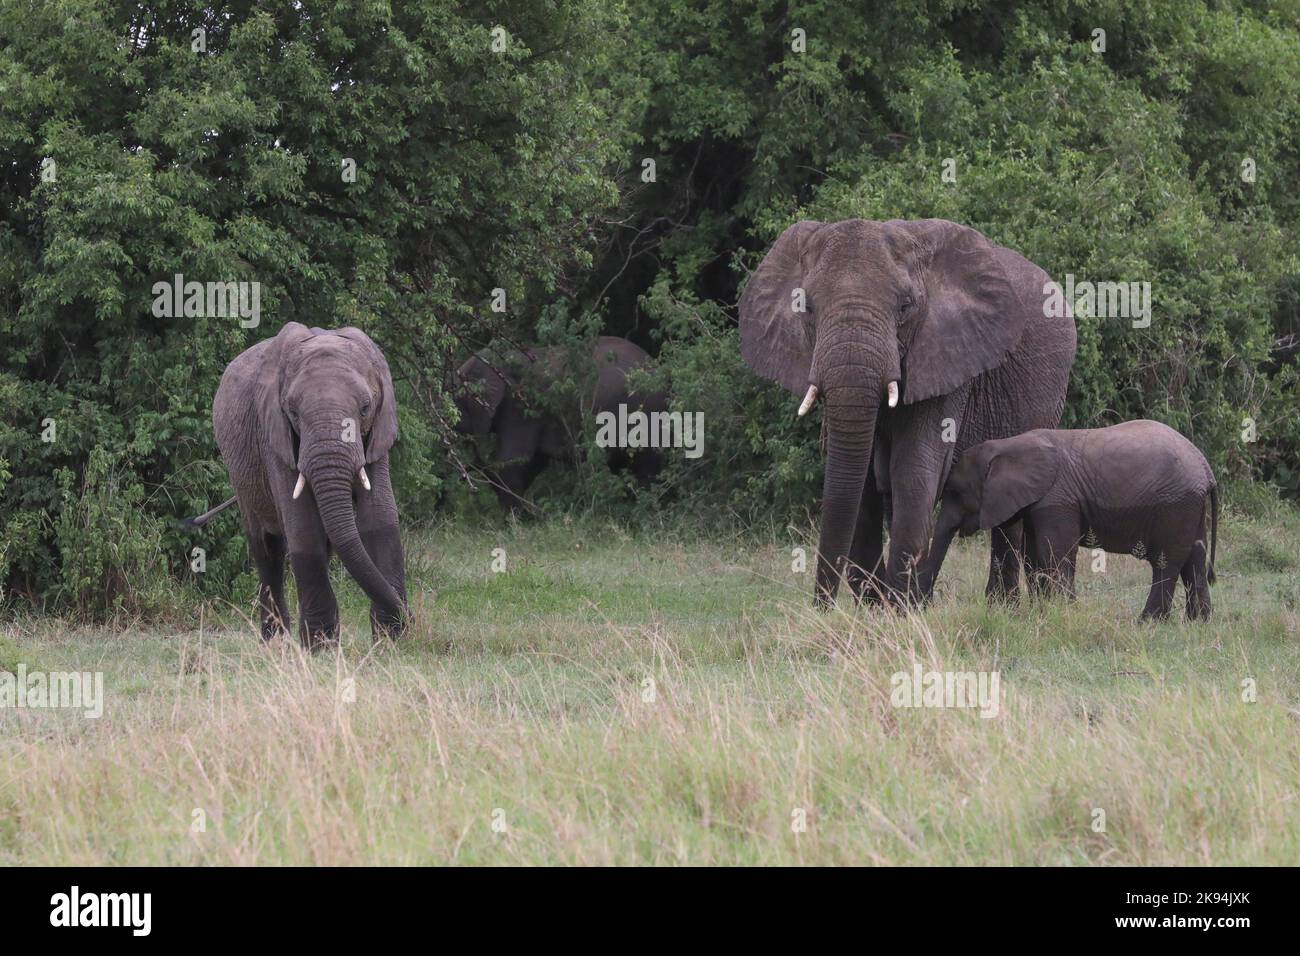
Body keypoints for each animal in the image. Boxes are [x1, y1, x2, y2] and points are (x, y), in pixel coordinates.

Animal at [184, 322, 407, 647]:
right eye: (293, 412)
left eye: (365, 408)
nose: (409, 616)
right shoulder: (273, 435)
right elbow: (303, 527)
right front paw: (320, 647)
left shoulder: (378, 434)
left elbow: (379, 518)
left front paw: (391, 640)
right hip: (239, 470)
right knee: (267, 548)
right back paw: (275, 643)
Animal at [452, 336, 668, 513]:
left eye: (456, 402)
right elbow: (533, 462)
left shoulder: (521, 406)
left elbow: (513, 461)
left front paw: (515, 523)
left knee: (647, 467)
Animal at [739, 218, 1077, 607]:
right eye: (805, 307)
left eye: (905, 306)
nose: (821, 608)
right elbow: (862, 487)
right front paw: (878, 609)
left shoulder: (947, 358)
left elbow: (912, 472)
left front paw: (899, 609)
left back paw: (1012, 607)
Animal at [920, 421, 1219, 620]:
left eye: (955, 493)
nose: (925, 605)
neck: (1008, 445)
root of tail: (1206, 468)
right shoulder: (1037, 501)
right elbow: (1034, 556)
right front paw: (1044, 612)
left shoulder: (1057, 499)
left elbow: (1056, 554)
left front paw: (1064, 612)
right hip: (1189, 504)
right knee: (1194, 556)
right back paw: (1197, 622)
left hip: (1175, 504)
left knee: (1166, 562)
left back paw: (1148, 623)